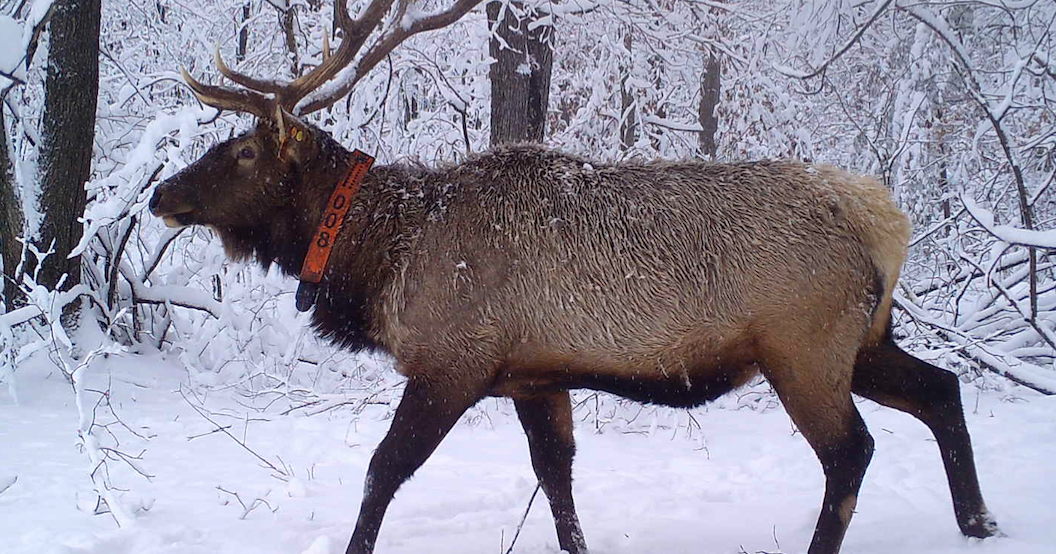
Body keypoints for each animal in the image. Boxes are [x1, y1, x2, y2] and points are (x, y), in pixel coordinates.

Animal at [149, 1, 1001, 553]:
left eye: (244, 152)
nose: (160, 193)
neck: (382, 257)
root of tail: (883, 220)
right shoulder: (536, 375)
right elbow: (557, 481)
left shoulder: (452, 363)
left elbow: (381, 472)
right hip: (861, 340)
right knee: (942, 388)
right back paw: (979, 522)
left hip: (804, 347)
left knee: (851, 450)